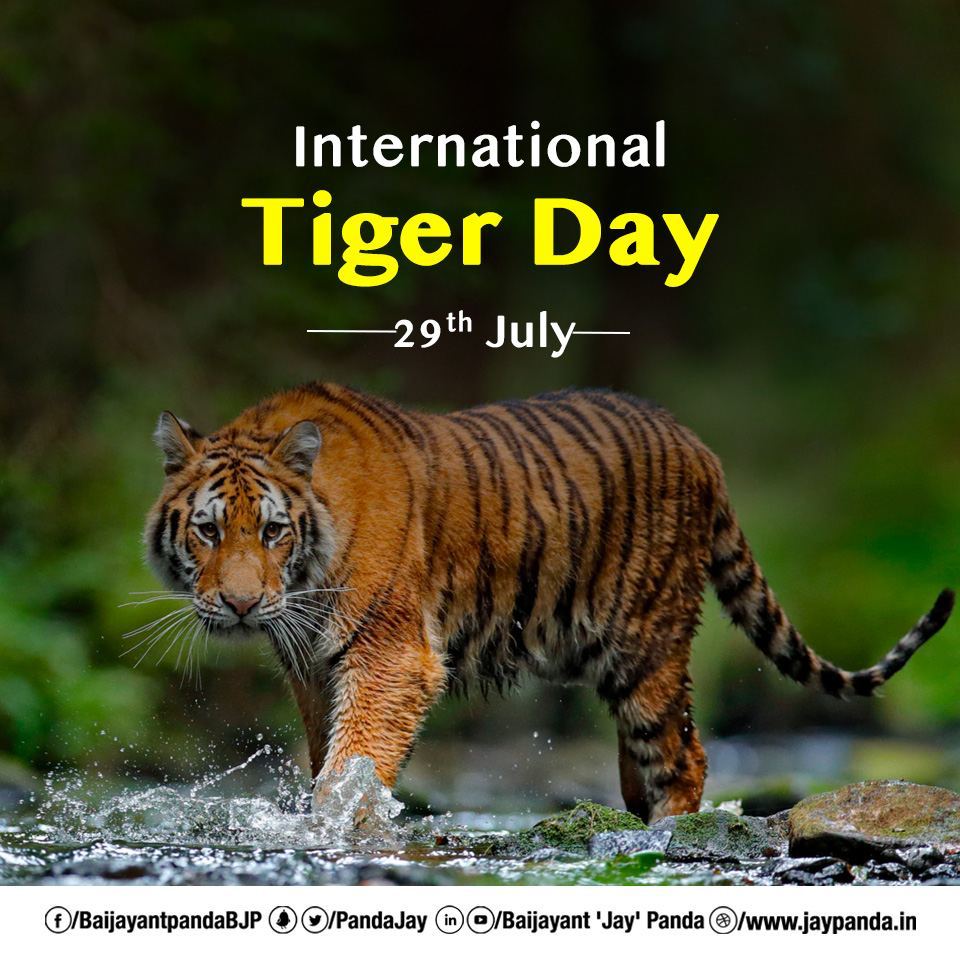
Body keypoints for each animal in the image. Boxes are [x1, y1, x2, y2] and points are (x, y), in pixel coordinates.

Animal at [144, 383, 954, 822]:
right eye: (209, 530)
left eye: (272, 531)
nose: (241, 605)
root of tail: (698, 445)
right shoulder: (313, 667)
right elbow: (328, 759)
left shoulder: (390, 655)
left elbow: (353, 764)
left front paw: (339, 827)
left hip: (648, 643)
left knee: (684, 755)